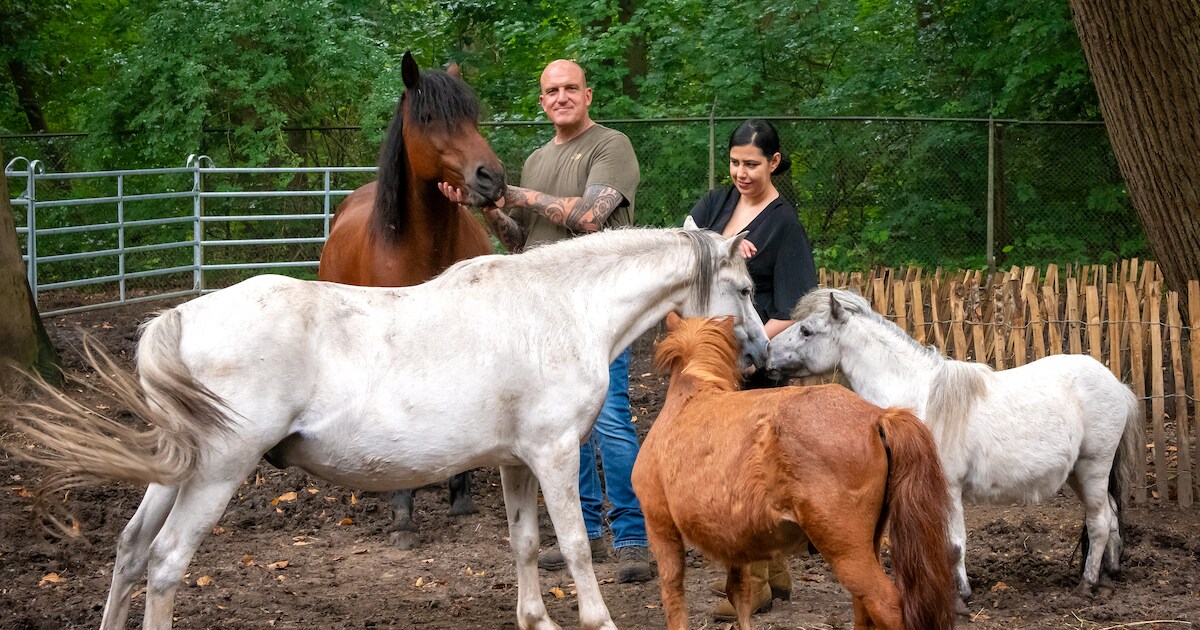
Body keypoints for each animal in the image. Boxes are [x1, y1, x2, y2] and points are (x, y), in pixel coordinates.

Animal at [5, 226, 769, 630]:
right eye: (744, 290)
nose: (760, 357)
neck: (559, 307)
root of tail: (182, 317)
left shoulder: (515, 462)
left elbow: (525, 545)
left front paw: (536, 618)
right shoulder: (552, 455)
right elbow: (578, 548)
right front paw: (596, 619)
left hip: (181, 470)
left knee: (132, 552)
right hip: (218, 471)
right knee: (165, 563)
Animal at [318, 51, 506, 543]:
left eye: (471, 115)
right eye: (427, 118)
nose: (491, 177)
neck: (421, 248)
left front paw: (460, 495)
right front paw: (402, 514)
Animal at [633, 314, 955, 630]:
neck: (691, 394)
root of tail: (877, 415)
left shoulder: (660, 526)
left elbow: (673, 595)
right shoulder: (734, 544)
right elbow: (740, 595)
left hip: (846, 551)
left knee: (886, 604)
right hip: (869, 545)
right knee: (864, 610)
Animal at [766, 288, 1144, 606]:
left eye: (806, 331)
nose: (766, 353)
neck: (918, 397)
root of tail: (1116, 384)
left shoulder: (948, 489)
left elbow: (953, 543)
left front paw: (960, 595)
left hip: (1093, 467)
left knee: (1099, 521)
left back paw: (1087, 584)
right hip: (1079, 474)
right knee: (1110, 516)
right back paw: (1109, 575)